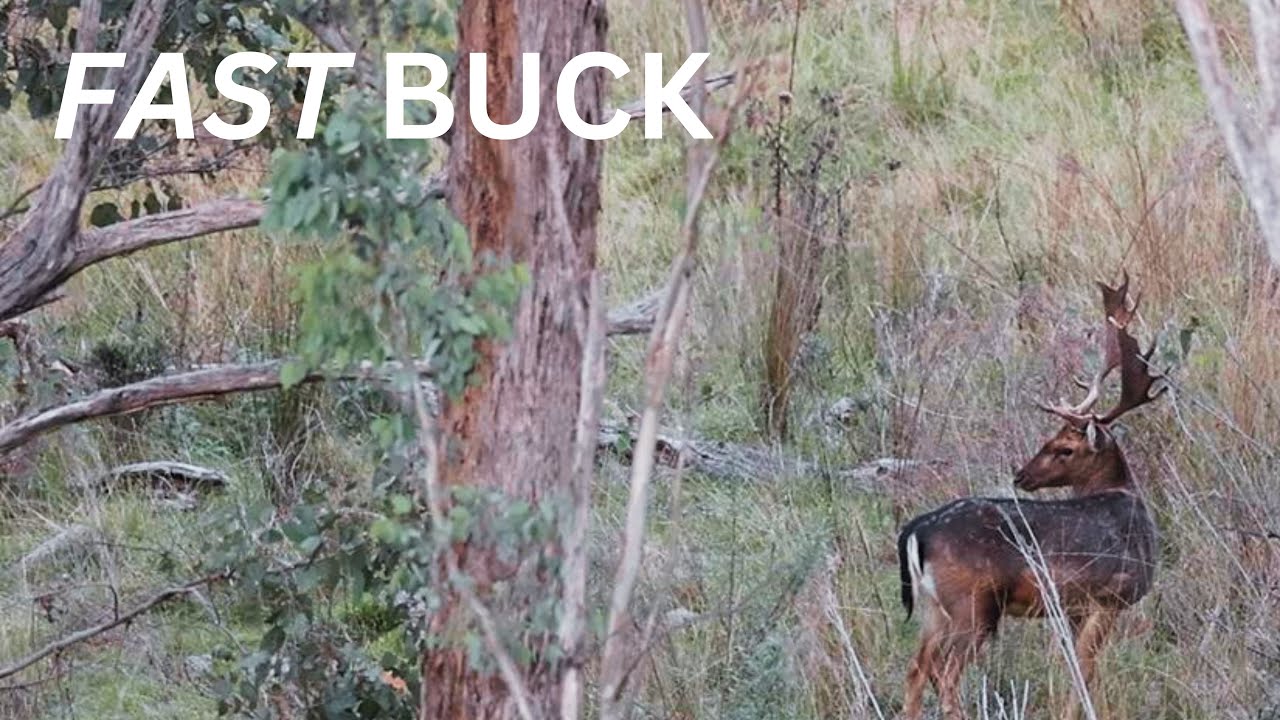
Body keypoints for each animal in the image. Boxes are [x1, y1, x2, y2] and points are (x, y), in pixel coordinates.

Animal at [896, 273, 1167, 720]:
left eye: (1064, 448)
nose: (1021, 474)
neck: (1125, 500)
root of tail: (917, 530)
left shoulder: (1073, 607)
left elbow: (1073, 667)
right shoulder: (1109, 597)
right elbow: (1085, 671)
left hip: (934, 607)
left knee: (916, 669)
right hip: (973, 604)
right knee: (945, 675)